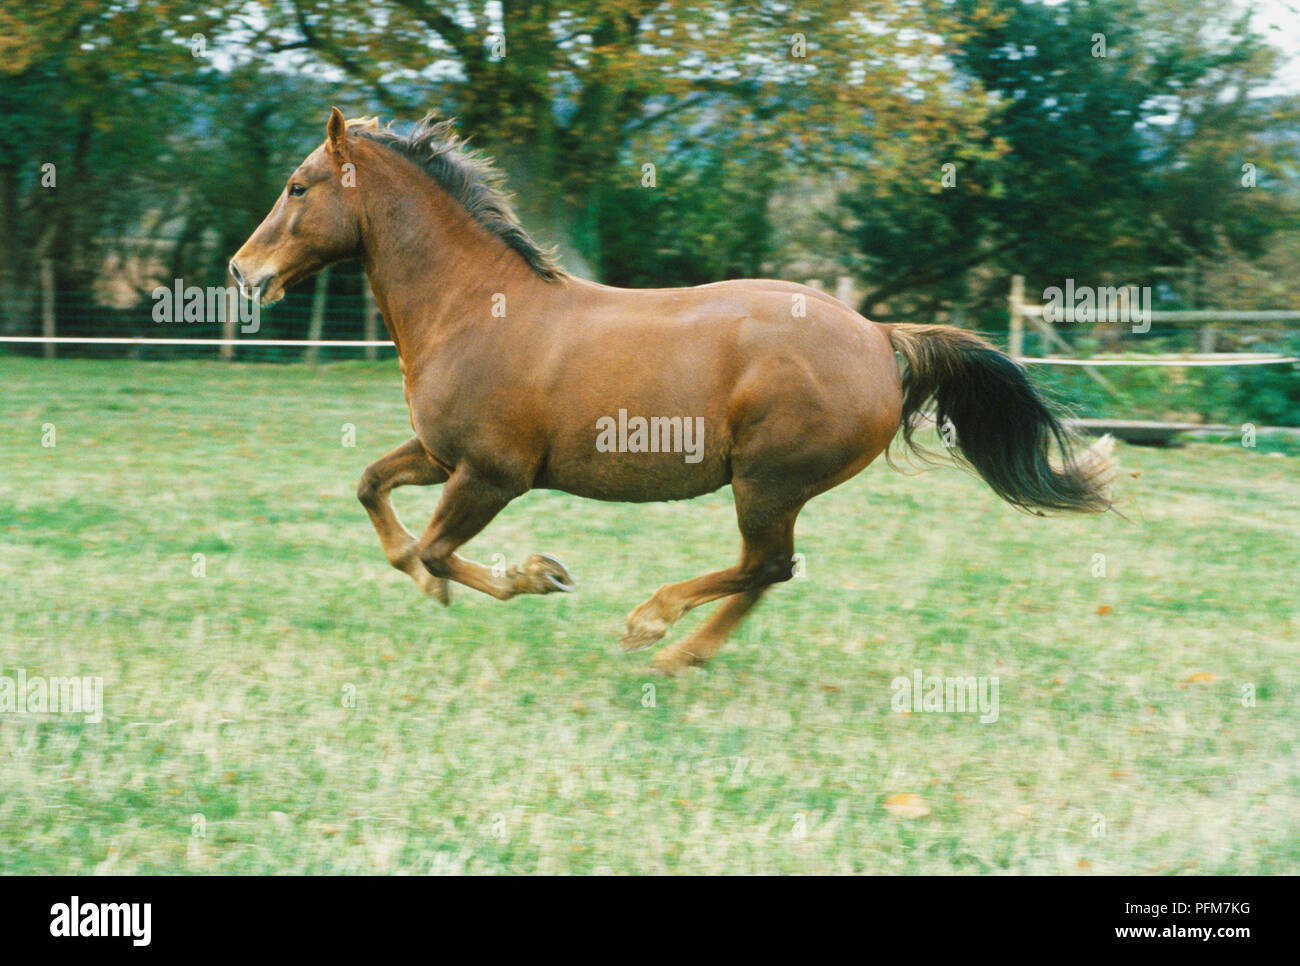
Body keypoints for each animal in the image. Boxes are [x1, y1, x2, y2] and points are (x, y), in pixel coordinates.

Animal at [230, 108, 1113, 675]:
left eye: (300, 185)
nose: (243, 272)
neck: (475, 308)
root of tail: (879, 337)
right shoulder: (441, 454)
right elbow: (375, 493)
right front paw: (439, 585)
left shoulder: (491, 474)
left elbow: (437, 548)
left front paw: (539, 575)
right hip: (773, 488)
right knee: (767, 572)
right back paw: (683, 652)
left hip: (766, 481)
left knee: (766, 565)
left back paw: (651, 626)